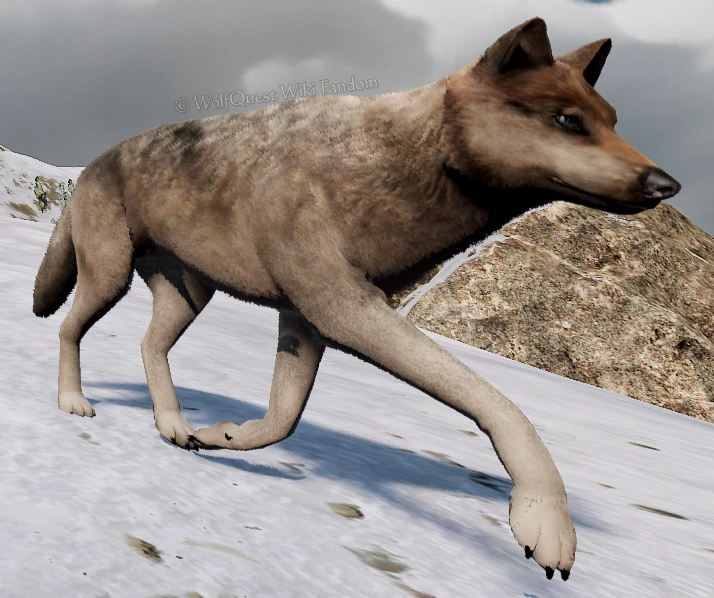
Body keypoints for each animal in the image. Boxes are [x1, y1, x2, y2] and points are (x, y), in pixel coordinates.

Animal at [33, 17, 680, 580]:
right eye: (569, 121)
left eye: (613, 120)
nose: (666, 184)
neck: (400, 165)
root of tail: (92, 162)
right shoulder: (345, 311)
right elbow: (500, 405)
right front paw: (547, 522)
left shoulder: (306, 321)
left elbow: (282, 419)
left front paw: (223, 437)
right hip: (110, 277)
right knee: (65, 327)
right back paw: (73, 403)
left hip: (190, 295)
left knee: (149, 346)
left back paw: (173, 426)